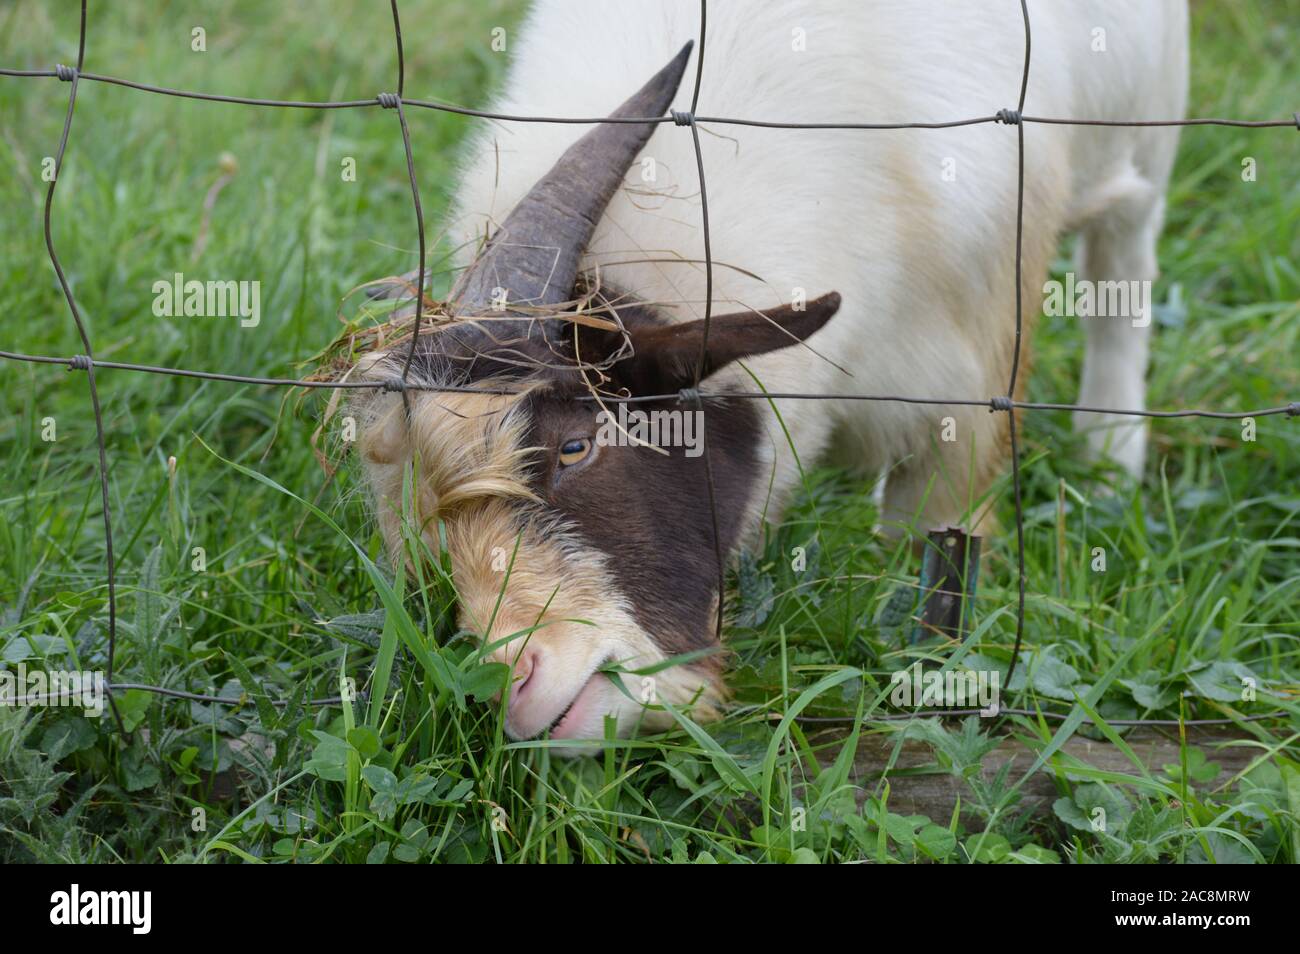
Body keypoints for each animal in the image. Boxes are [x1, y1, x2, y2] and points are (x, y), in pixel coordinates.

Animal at [352, 0, 1189, 751]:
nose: (513, 682)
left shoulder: (970, 389)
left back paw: (1111, 458)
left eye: (575, 447)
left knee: (1124, 260)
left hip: (1145, 130)